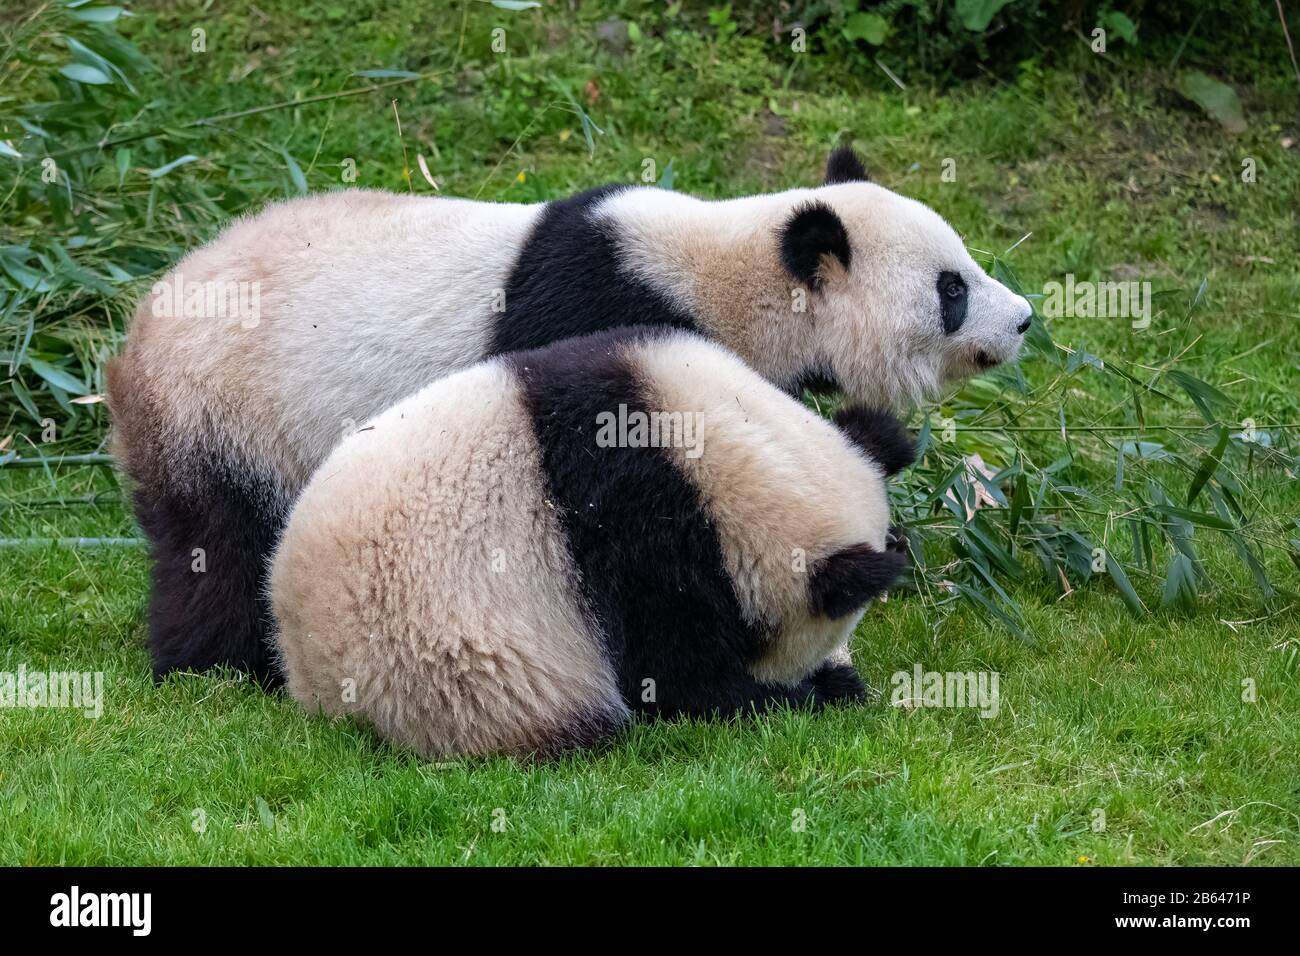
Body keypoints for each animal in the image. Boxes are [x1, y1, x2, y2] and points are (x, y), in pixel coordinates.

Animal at [108, 146, 1031, 685]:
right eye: (952, 289)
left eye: (966, 265)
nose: (1024, 319)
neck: (722, 272)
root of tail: (132, 336)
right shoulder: (597, 315)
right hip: (223, 411)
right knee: (220, 547)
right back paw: (222, 666)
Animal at [268, 325, 916, 758]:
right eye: (826, 631)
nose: (832, 665)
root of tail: (313, 678)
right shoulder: (644, 530)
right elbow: (673, 674)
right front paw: (816, 690)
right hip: (460, 672)